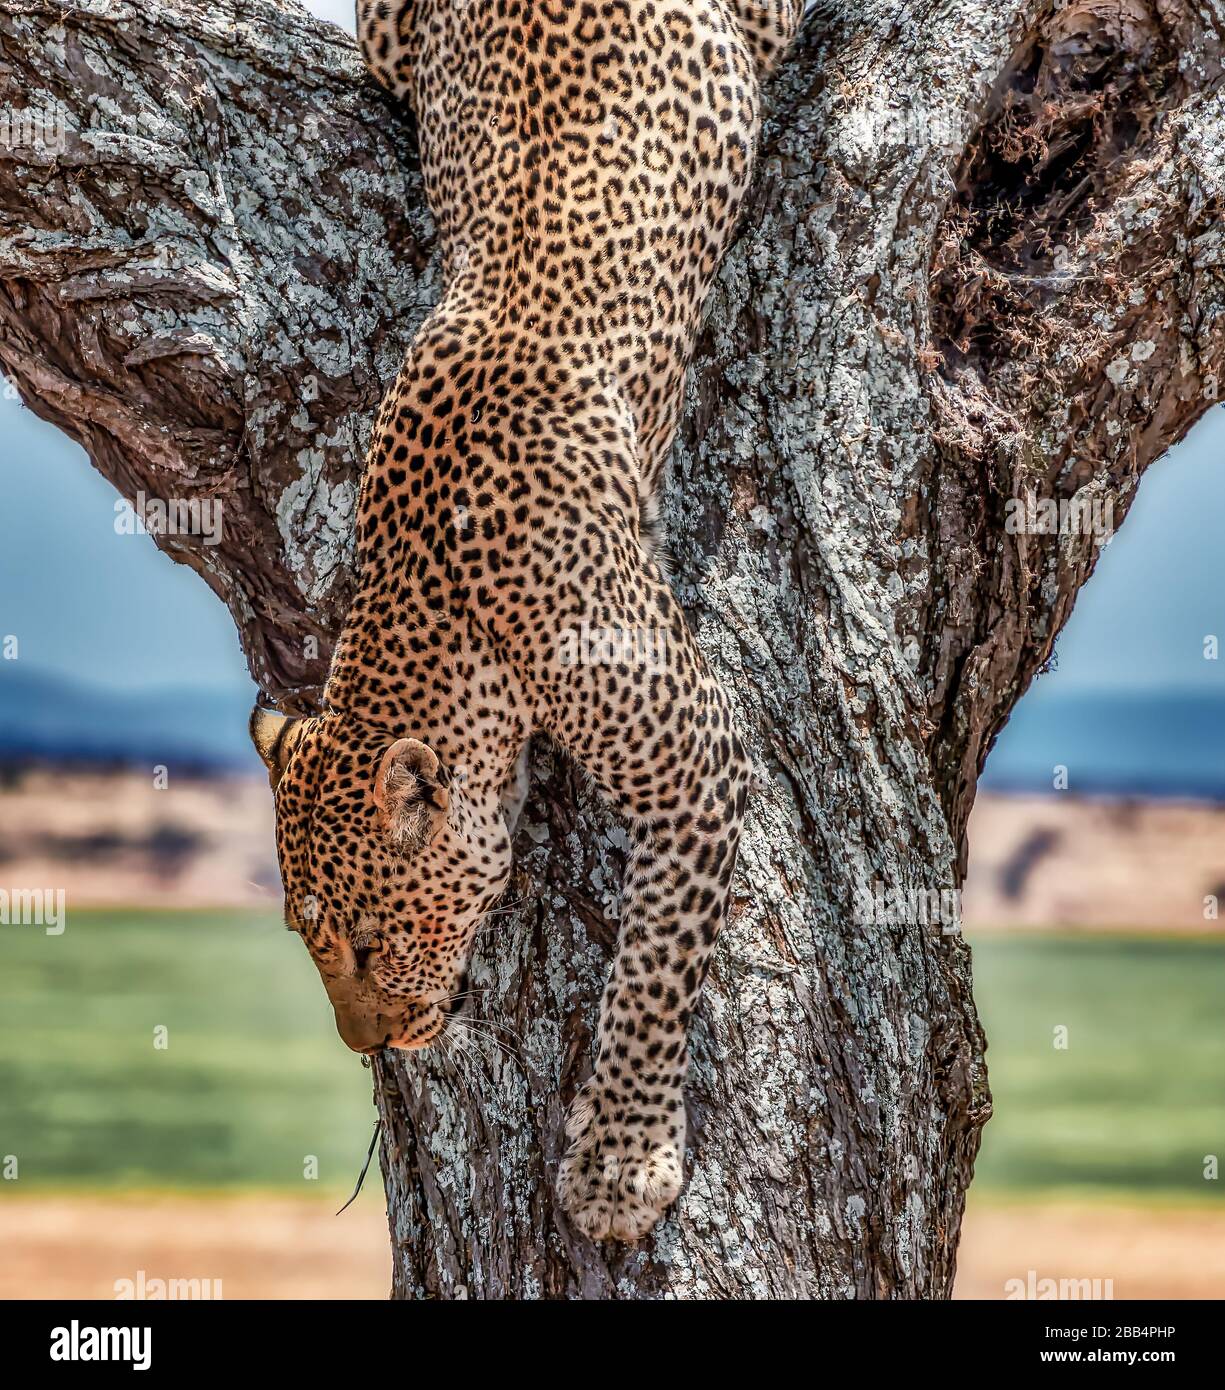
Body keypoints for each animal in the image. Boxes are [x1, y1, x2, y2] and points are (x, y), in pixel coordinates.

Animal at [250, 0, 807, 1242]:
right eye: (304, 943)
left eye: (369, 940)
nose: (365, 1043)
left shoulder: (689, 746)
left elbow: (657, 957)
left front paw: (618, 1161)